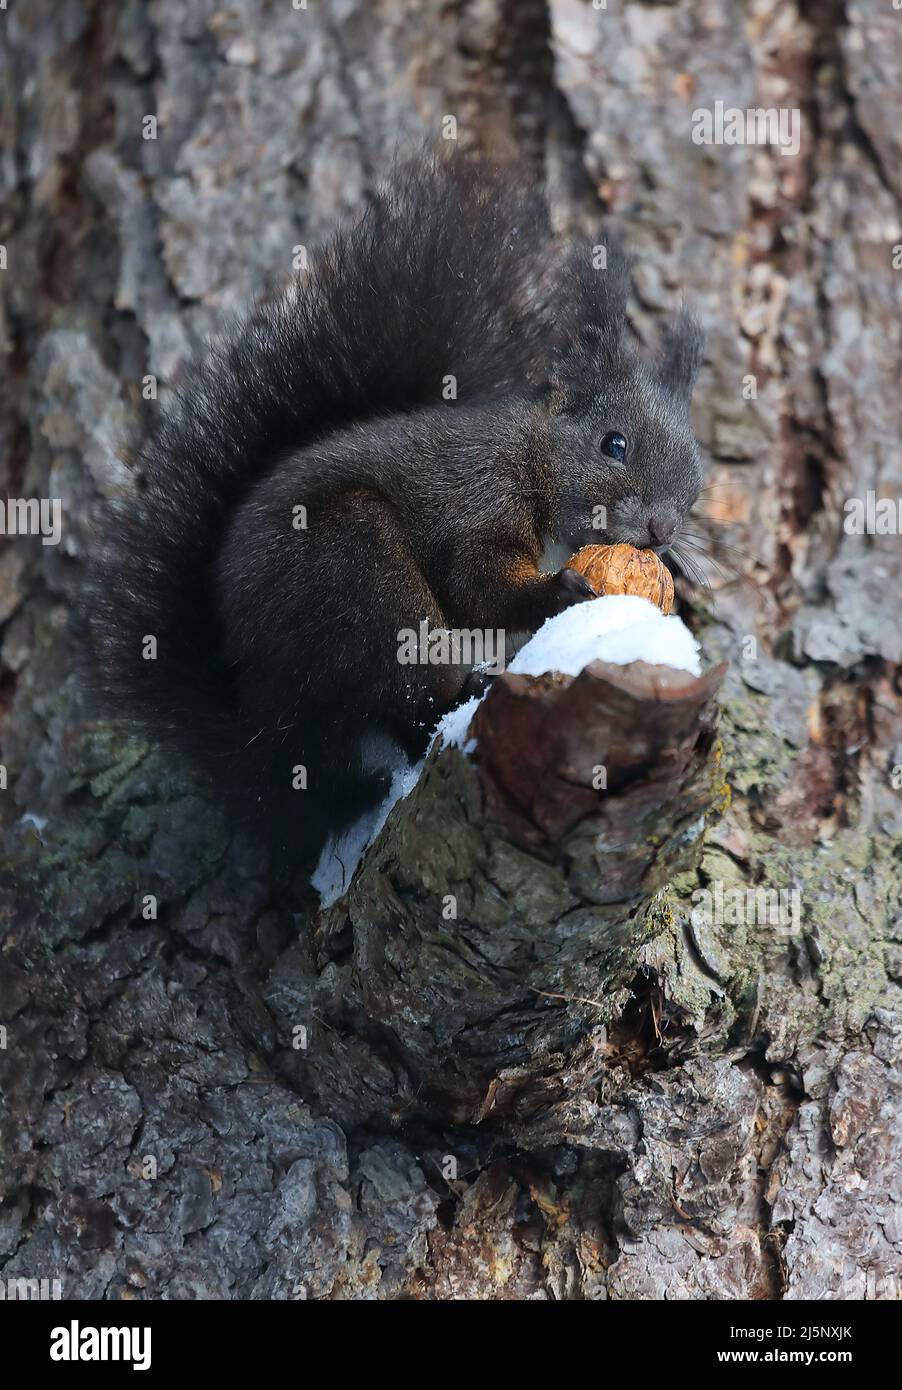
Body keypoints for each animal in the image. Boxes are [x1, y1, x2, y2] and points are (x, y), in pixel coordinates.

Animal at [89, 153, 705, 859]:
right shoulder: (477, 500)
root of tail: (257, 718)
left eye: (696, 482)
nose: (660, 527)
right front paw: (561, 593)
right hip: (358, 571)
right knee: (406, 695)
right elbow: (478, 584)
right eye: (614, 444)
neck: (534, 460)